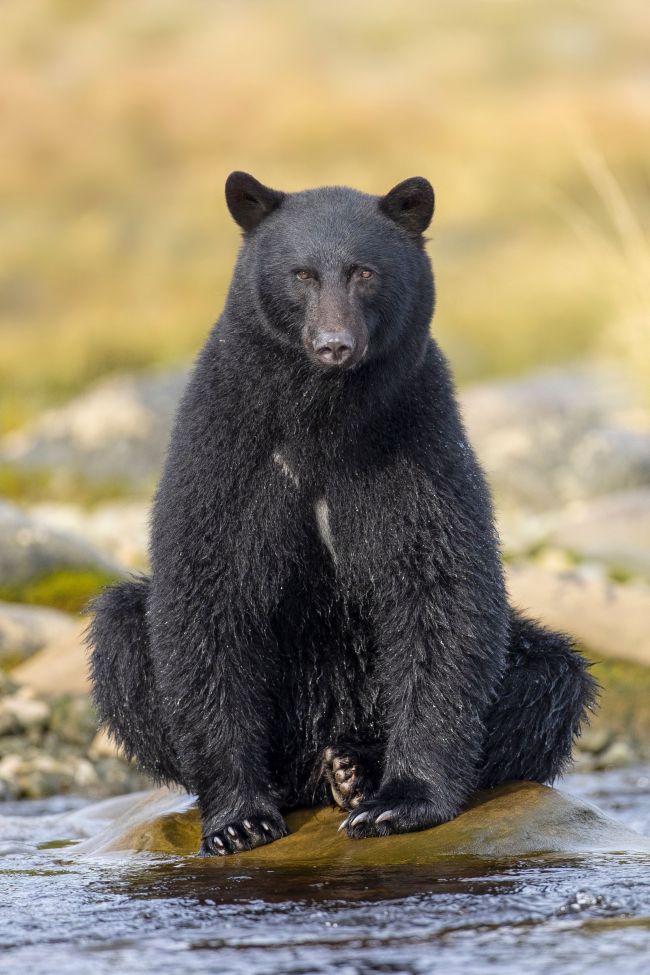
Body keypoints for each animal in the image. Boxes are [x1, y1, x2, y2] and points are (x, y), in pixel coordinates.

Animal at [88, 172, 596, 856]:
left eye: (364, 272)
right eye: (302, 274)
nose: (335, 345)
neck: (324, 418)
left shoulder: (413, 442)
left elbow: (440, 588)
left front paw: (400, 802)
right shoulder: (228, 448)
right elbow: (207, 594)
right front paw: (239, 820)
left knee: (552, 675)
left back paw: (356, 769)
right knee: (121, 631)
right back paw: (306, 778)